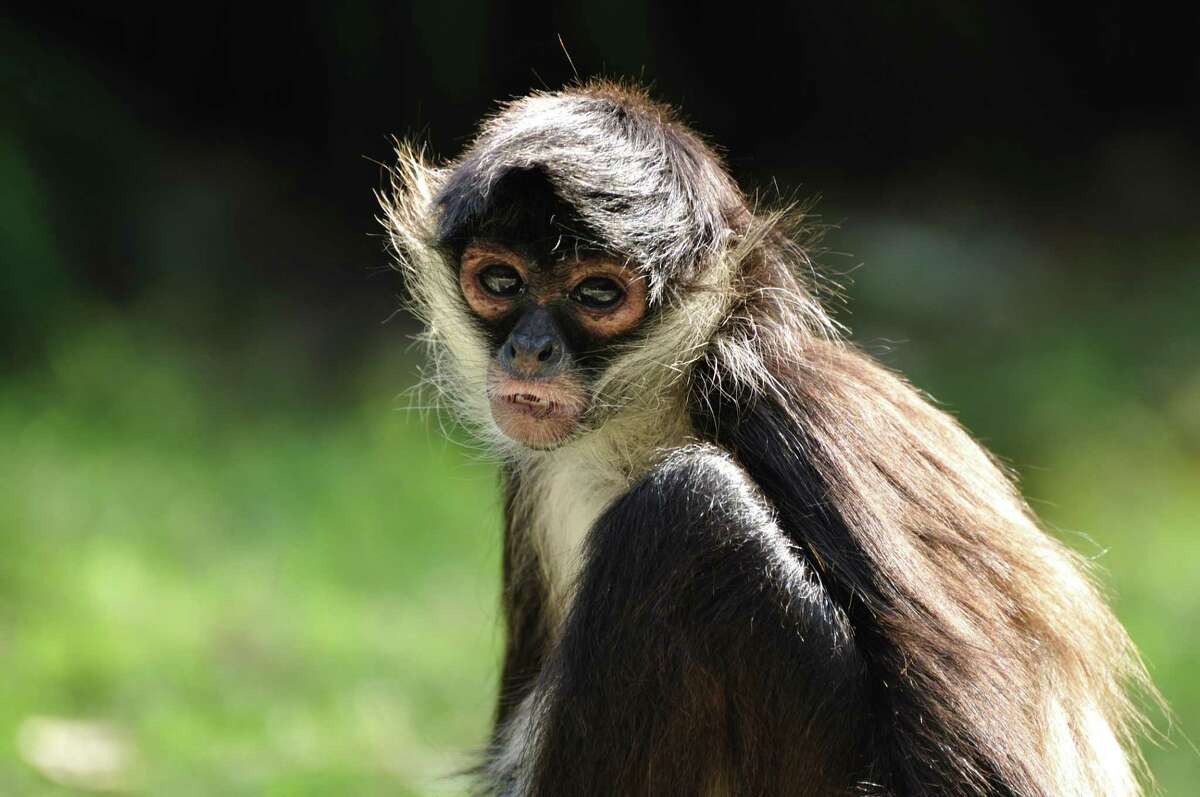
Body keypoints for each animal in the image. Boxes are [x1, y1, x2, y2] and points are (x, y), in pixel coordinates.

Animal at [380, 81, 1157, 796]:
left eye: (597, 294)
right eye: (500, 281)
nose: (530, 350)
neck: (650, 423)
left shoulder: (794, 408)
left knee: (690, 503)